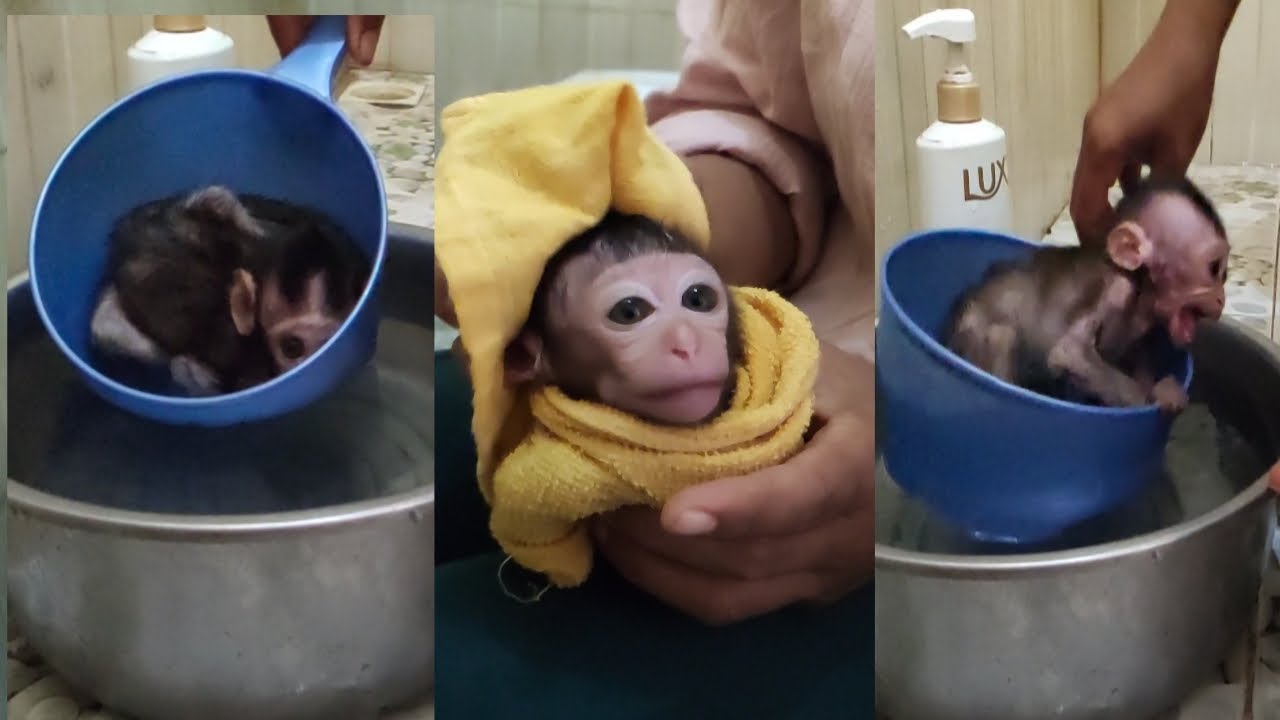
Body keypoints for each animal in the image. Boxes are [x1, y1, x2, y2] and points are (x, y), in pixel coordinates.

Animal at [942, 174, 1229, 414]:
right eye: (1214, 268)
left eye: (1223, 275)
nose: (1221, 298)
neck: (1141, 293)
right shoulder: (1115, 291)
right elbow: (1069, 353)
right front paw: (1153, 398)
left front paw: (1162, 388)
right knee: (1002, 335)